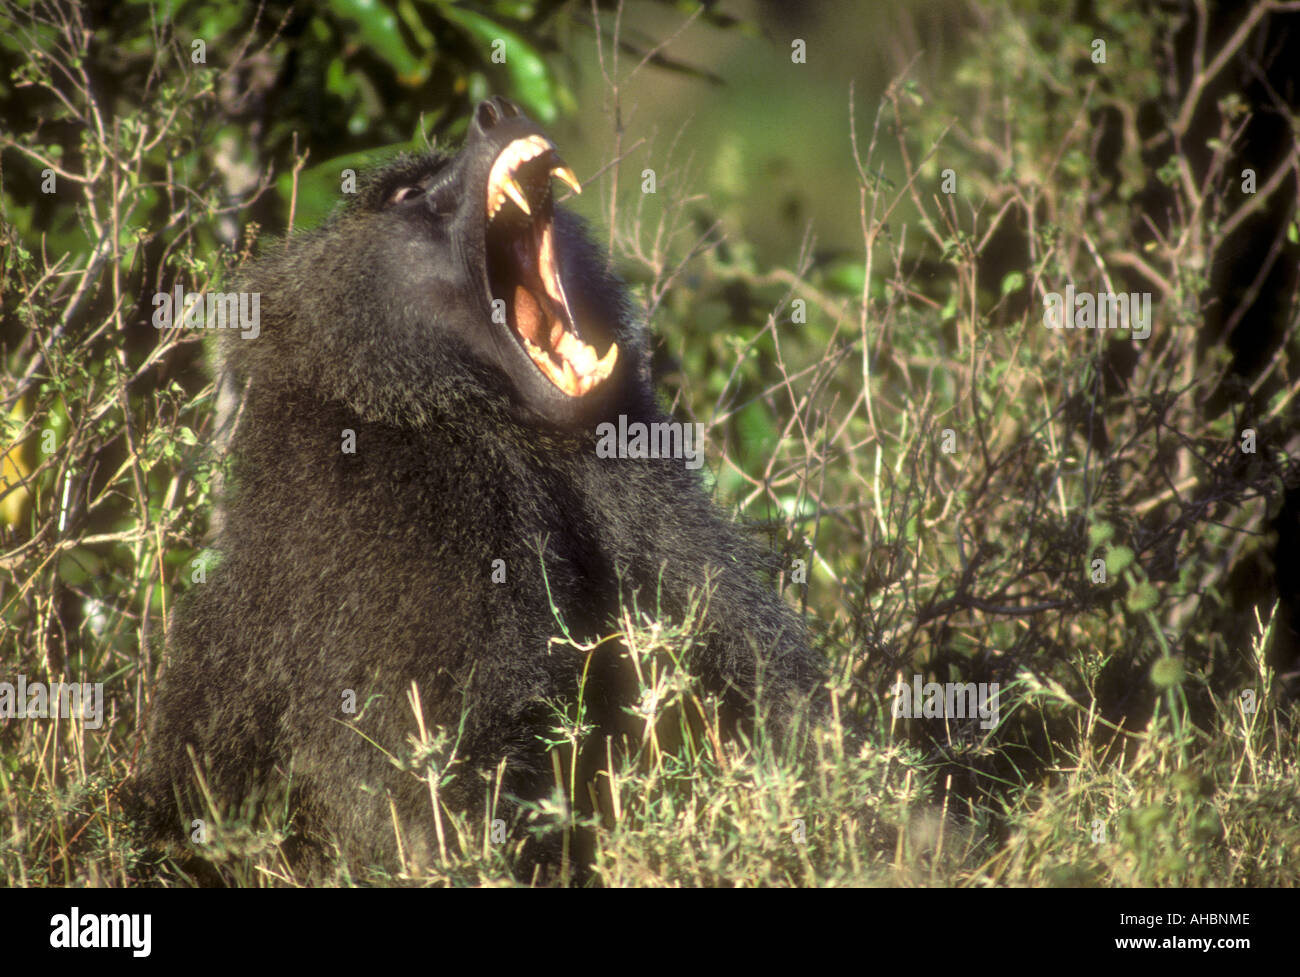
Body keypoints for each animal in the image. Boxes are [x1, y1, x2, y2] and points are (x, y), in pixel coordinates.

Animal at [134, 97, 822, 880]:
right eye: (406, 193)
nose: (498, 108)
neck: (455, 407)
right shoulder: (402, 505)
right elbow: (432, 787)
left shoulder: (625, 469)